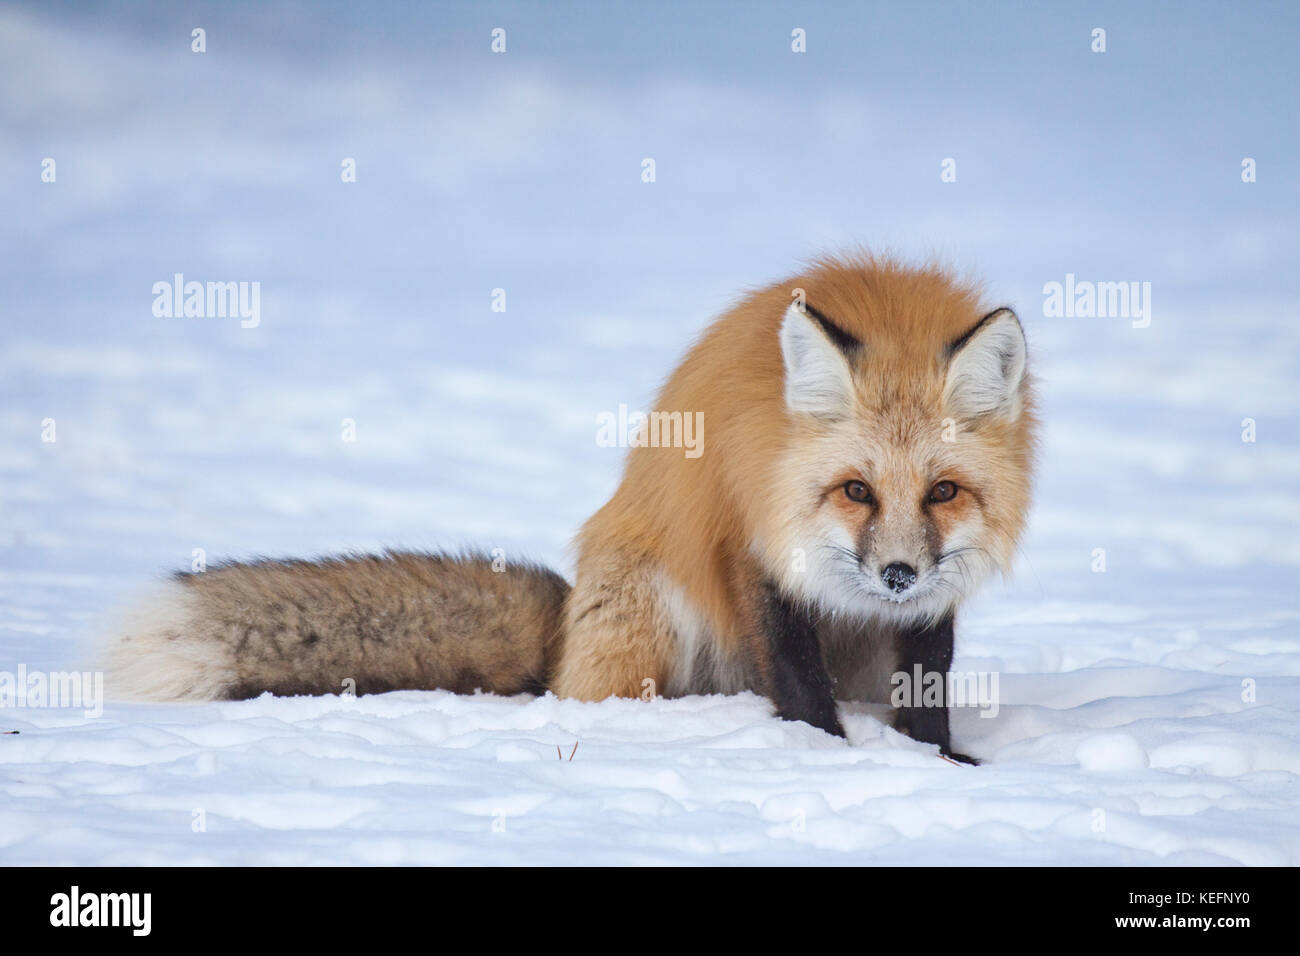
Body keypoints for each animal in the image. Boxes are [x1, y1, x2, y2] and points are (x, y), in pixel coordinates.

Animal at [101, 254, 1035, 762]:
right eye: (855, 490)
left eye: (943, 491)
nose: (897, 574)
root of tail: (562, 636)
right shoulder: (747, 542)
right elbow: (797, 678)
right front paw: (827, 755)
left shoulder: (927, 607)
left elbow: (927, 685)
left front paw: (936, 760)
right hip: (653, 615)